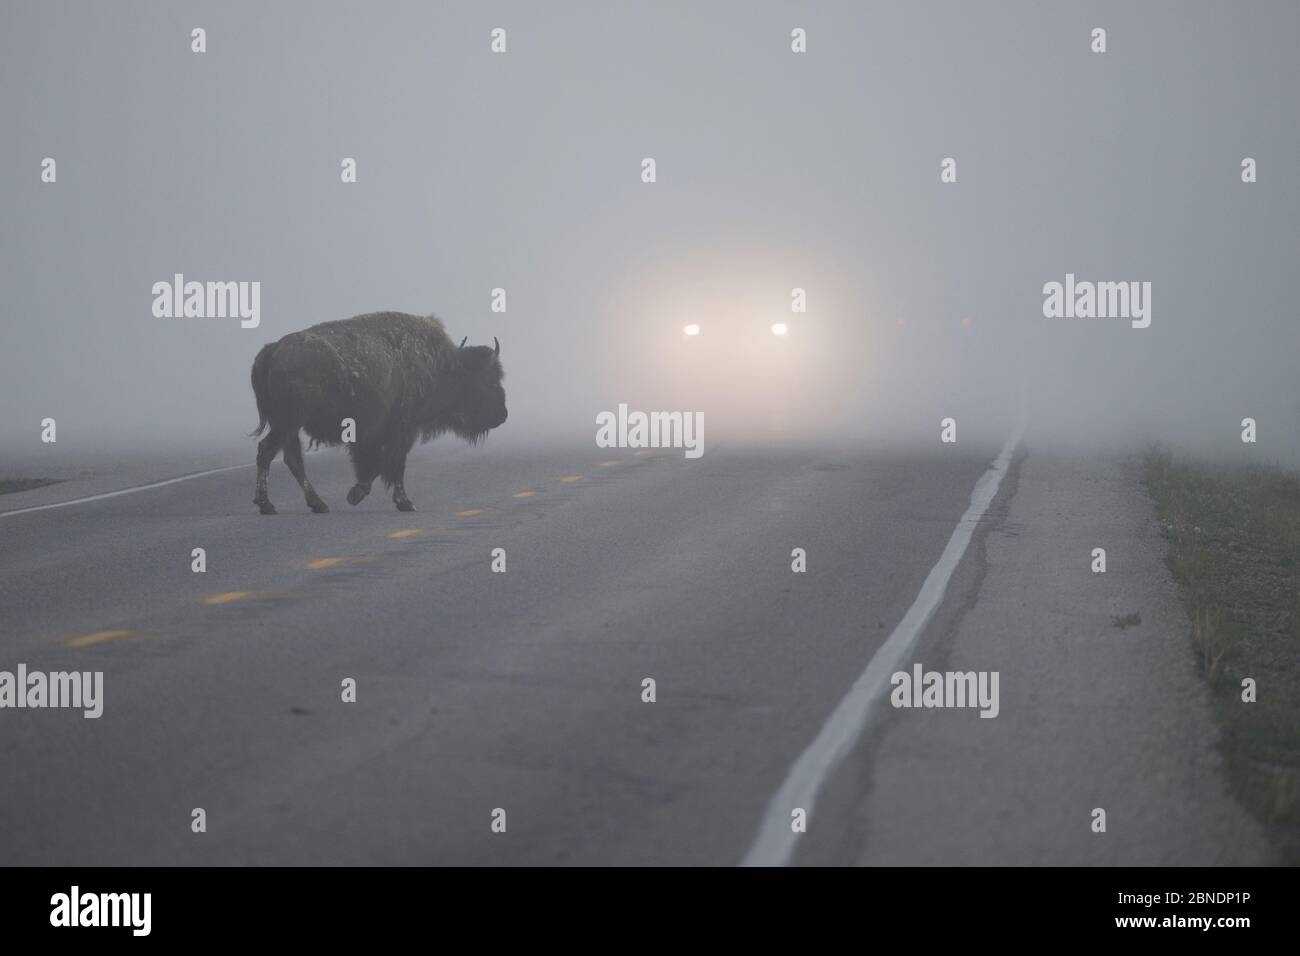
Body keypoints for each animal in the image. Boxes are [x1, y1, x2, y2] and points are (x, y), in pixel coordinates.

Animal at [249, 311, 507, 514]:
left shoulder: (375, 435)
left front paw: (359, 493)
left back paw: (318, 504)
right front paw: (400, 501)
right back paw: (267, 505)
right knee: (267, 452)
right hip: (288, 423)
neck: (442, 365)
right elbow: (391, 464)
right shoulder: (401, 430)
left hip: (288, 427)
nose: (503, 415)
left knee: (292, 459)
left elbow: (380, 464)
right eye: (489, 380)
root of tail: (272, 350)